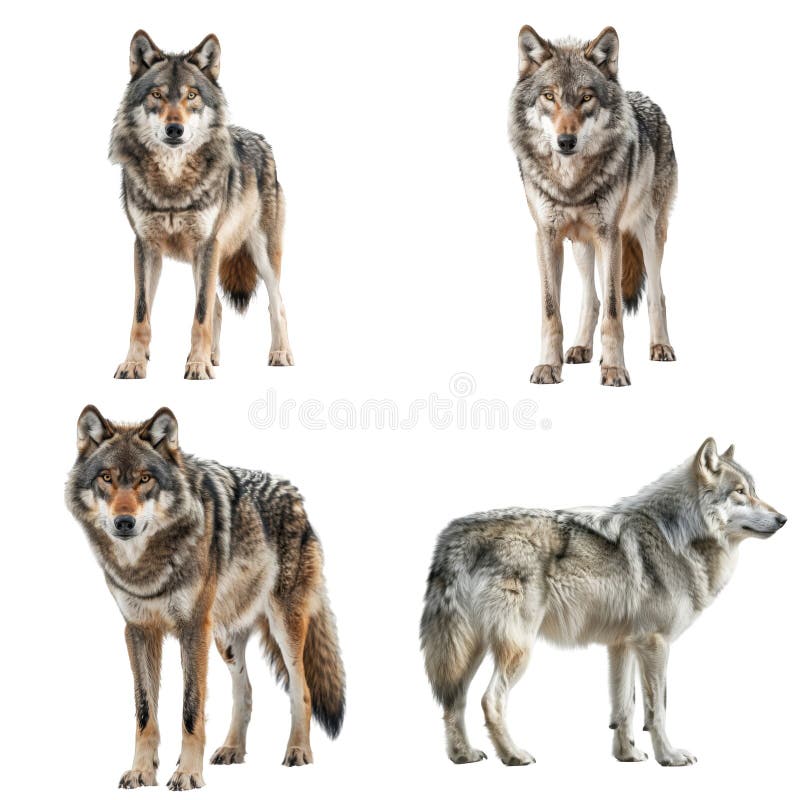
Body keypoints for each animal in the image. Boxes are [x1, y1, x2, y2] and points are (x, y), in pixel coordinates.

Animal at [65, 406, 344, 789]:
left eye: (145, 479)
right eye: (106, 478)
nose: (124, 522)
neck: (146, 566)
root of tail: (296, 497)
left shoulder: (193, 628)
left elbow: (191, 709)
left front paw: (188, 773)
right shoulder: (139, 630)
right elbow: (145, 713)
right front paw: (143, 771)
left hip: (283, 627)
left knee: (301, 690)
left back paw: (298, 750)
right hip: (225, 638)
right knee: (245, 692)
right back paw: (231, 750)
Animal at [110, 31, 293, 380]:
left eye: (192, 96)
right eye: (157, 94)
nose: (174, 129)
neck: (172, 182)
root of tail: (261, 139)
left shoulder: (207, 244)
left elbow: (200, 314)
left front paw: (197, 365)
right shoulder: (145, 246)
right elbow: (142, 314)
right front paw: (135, 363)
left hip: (260, 255)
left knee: (276, 304)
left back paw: (280, 354)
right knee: (217, 306)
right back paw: (214, 356)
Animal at [421, 439, 786, 766]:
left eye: (754, 490)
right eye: (740, 492)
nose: (783, 518)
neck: (677, 537)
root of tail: (456, 536)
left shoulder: (622, 644)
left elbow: (625, 707)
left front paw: (627, 756)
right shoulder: (655, 643)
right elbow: (657, 709)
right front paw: (669, 757)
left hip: (468, 648)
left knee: (454, 701)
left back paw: (463, 755)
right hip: (517, 649)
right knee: (490, 700)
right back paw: (513, 755)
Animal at [509, 26, 677, 386]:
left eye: (586, 98)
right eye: (549, 96)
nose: (566, 141)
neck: (572, 184)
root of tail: (644, 98)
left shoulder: (609, 235)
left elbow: (615, 312)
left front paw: (614, 369)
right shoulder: (547, 237)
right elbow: (552, 312)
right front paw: (548, 366)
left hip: (647, 234)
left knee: (656, 295)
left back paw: (660, 347)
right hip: (582, 246)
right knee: (593, 299)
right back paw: (581, 349)